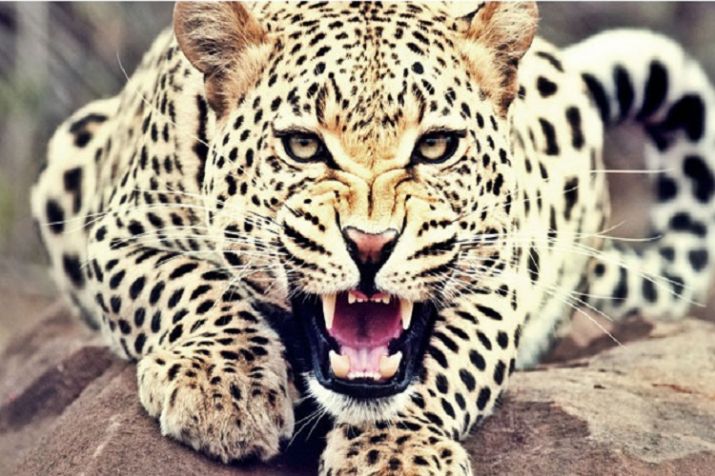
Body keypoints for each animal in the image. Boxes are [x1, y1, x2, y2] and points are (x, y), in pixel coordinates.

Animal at [31, 2, 715, 474]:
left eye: (436, 146)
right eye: (302, 146)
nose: (369, 244)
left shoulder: (498, 277)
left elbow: (447, 360)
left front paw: (394, 453)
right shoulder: (119, 235)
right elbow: (192, 284)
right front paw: (224, 388)